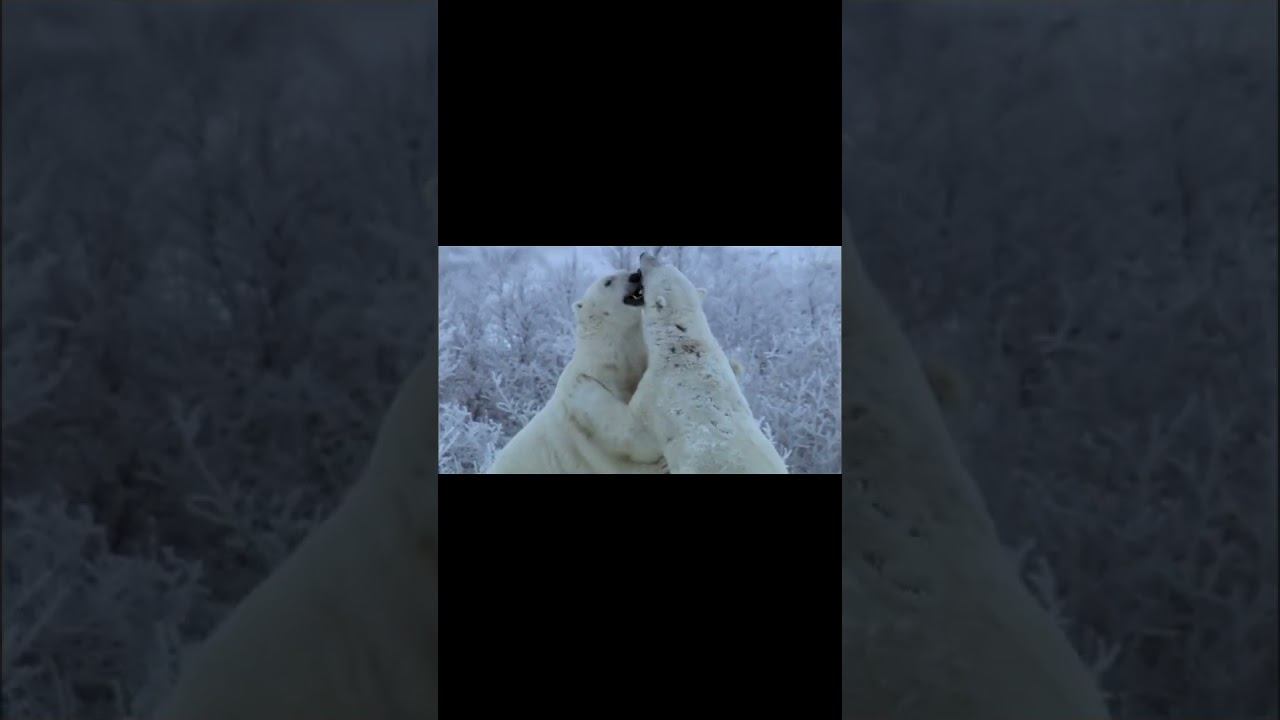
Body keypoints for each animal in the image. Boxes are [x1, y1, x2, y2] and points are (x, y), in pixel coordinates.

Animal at [565, 253, 788, 474]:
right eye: (666, 264)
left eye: (655, 267)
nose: (644, 255)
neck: (682, 347)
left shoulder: (656, 395)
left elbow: (632, 429)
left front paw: (582, 385)